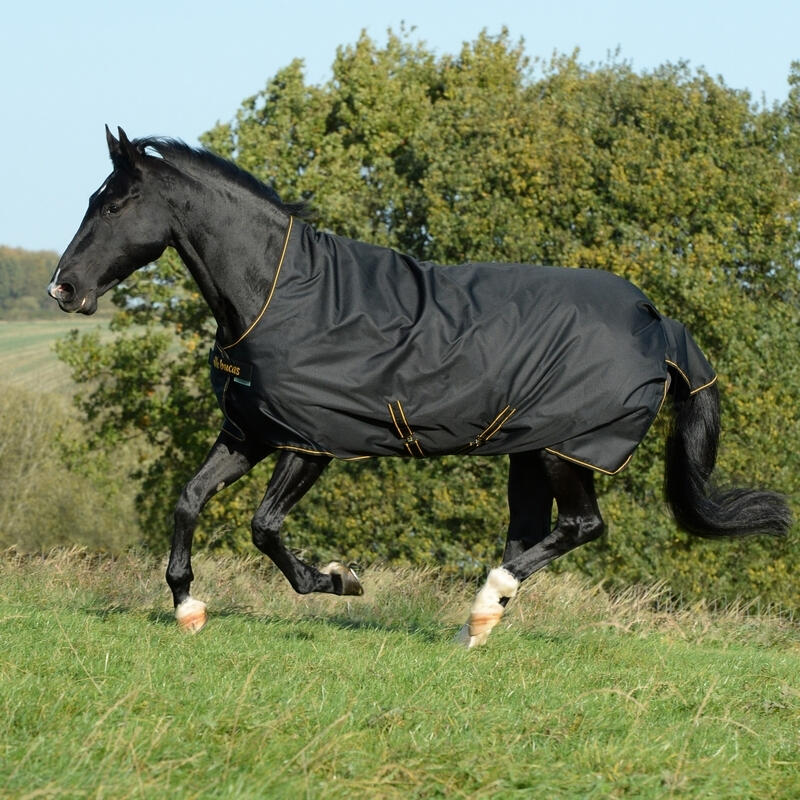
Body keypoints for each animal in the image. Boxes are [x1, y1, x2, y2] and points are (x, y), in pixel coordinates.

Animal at [49, 127, 792, 647]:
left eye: (114, 205)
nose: (64, 288)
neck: (276, 292)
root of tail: (658, 322)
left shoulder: (310, 443)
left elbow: (263, 528)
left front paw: (338, 580)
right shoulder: (251, 432)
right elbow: (188, 500)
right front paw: (187, 608)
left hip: (568, 448)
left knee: (581, 526)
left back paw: (484, 604)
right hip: (528, 451)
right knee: (533, 532)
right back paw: (475, 627)